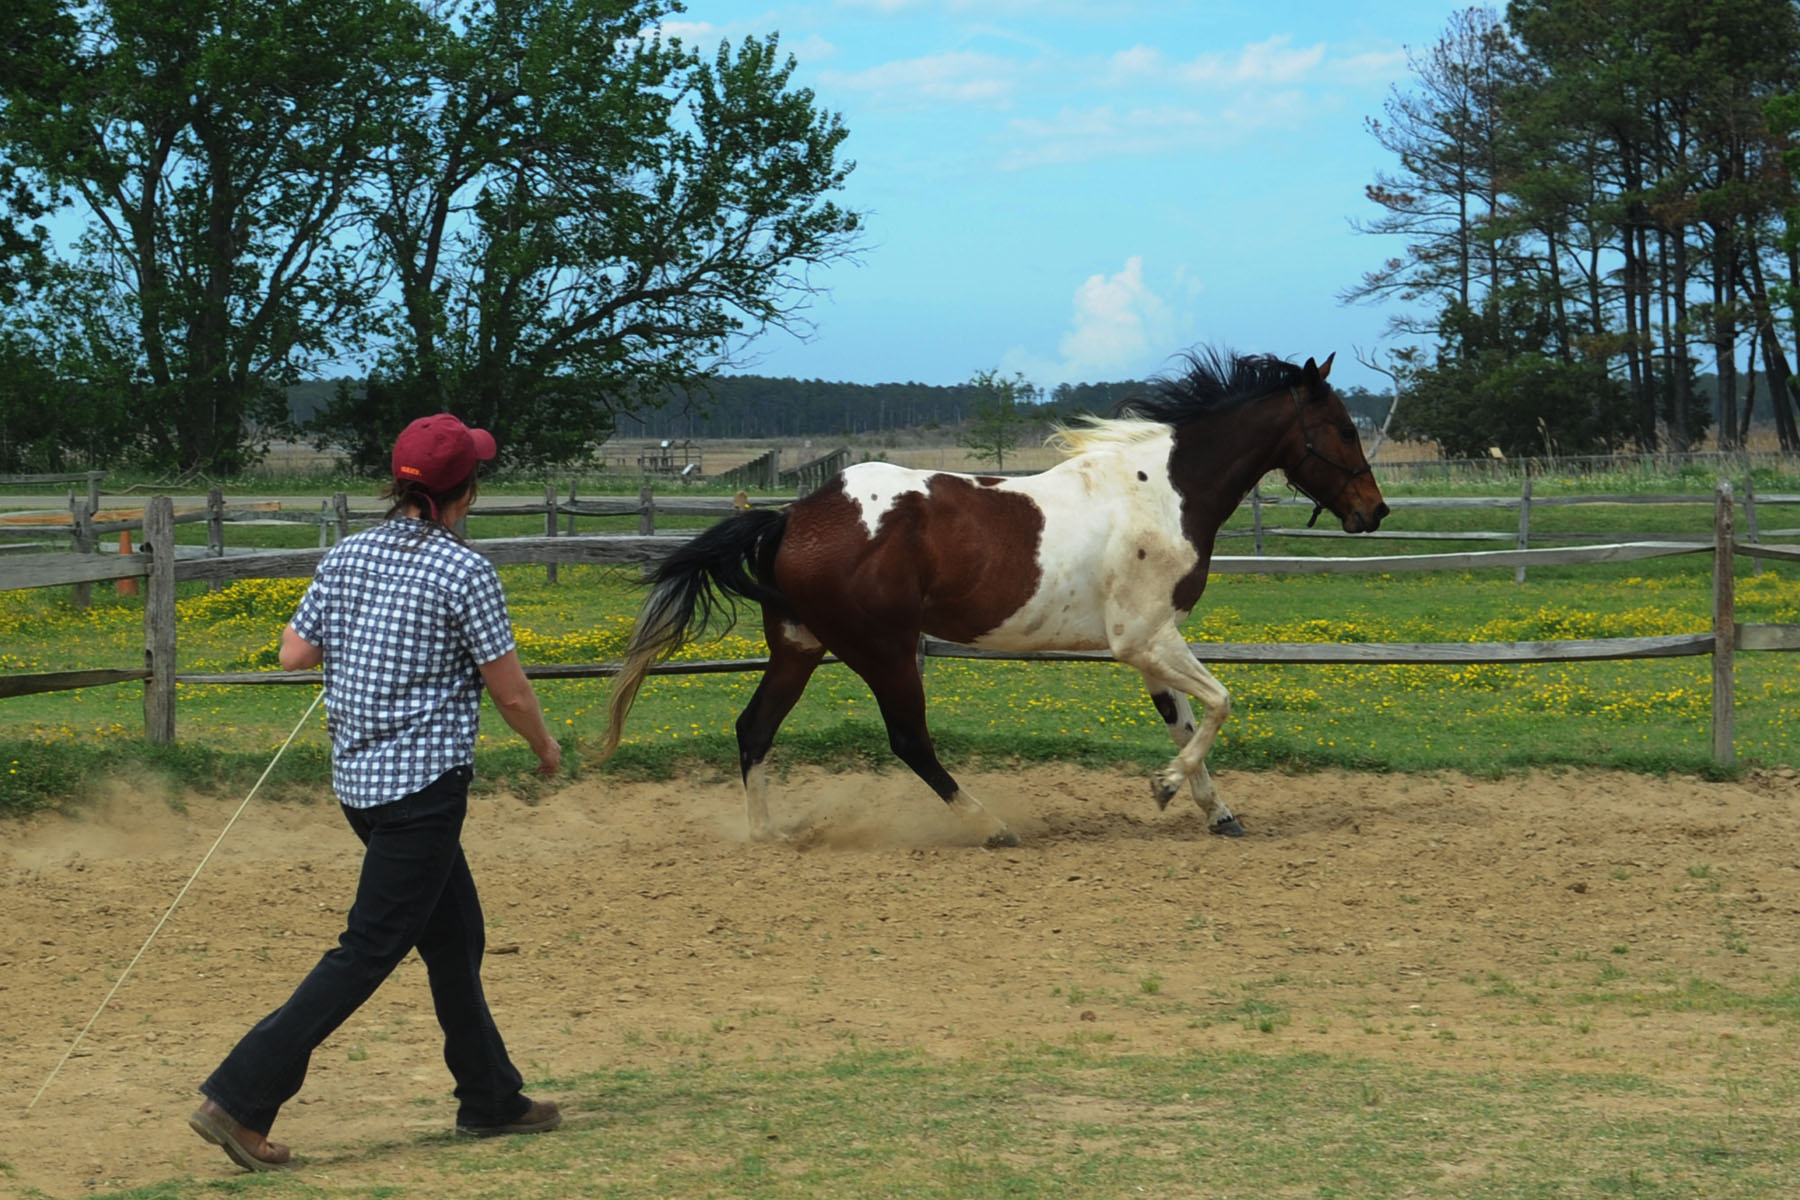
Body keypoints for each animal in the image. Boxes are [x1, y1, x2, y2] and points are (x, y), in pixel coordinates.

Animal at [595, 349, 1389, 847]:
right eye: (1344, 428)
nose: (1374, 512)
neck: (1162, 492)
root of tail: (794, 517)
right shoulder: (1144, 638)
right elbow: (1221, 704)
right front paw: (1164, 789)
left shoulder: (1151, 643)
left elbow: (1186, 720)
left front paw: (1216, 813)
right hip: (883, 650)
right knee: (908, 740)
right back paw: (991, 827)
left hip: (799, 647)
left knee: (753, 729)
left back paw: (769, 835)